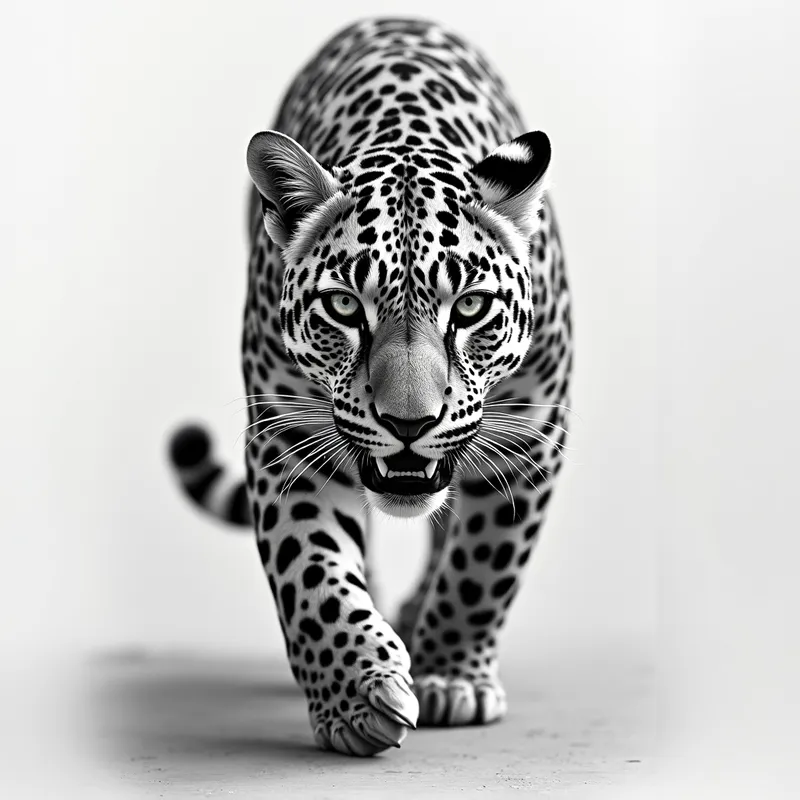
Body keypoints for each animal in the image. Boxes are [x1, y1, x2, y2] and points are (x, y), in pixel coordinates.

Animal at [168, 17, 572, 757]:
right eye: (343, 307)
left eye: (471, 307)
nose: (408, 423)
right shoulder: (289, 441)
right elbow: (312, 572)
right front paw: (358, 696)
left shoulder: (530, 433)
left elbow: (483, 565)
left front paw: (450, 676)